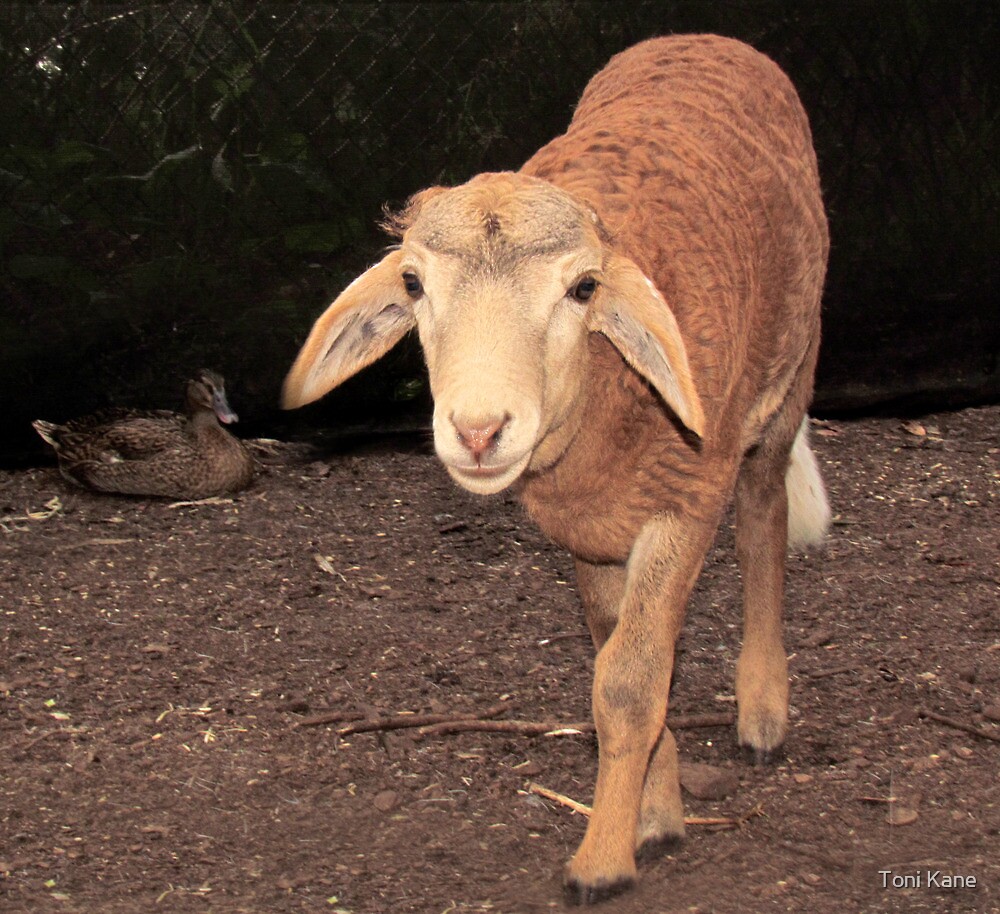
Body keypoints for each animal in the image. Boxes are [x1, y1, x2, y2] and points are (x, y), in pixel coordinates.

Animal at [282, 34, 830, 904]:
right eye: (413, 282)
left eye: (583, 288)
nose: (477, 430)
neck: (608, 398)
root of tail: (700, 37)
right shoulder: (590, 536)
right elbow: (619, 669)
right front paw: (654, 813)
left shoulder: (684, 503)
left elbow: (631, 683)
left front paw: (603, 860)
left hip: (790, 370)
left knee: (762, 516)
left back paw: (763, 706)